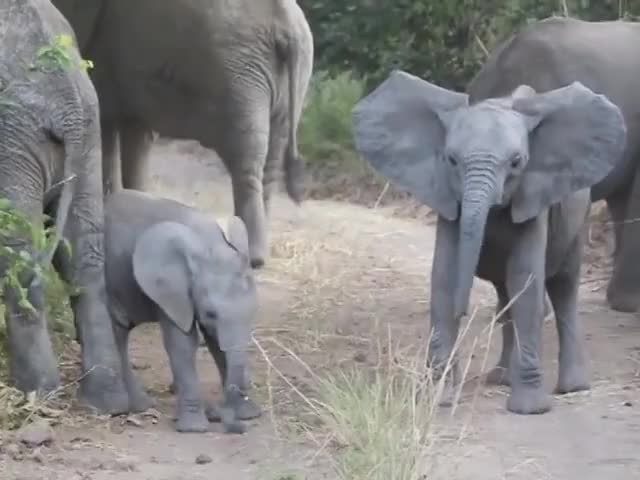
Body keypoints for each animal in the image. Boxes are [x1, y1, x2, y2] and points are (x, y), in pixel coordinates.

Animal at [0, 0, 128, 413]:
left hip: (14, 139)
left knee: (21, 258)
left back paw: (34, 391)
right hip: (88, 134)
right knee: (85, 255)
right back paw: (107, 401)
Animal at [52, 0, 314, 269]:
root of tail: (288, 27)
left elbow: (107, 122)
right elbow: (135, 133)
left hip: (241, 79)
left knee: (246, 162)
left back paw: (251, 256)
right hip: (284, 76)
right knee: (270, 161)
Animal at [104, 189, 261, 433]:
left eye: (253, 312)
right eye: (210, 314)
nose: (218, 413)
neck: (208, 244)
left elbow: (216, 344)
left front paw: (248, 414)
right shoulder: (169, 290)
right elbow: (183, 343)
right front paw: (194, 429)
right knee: (118, 334)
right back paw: (141, 406)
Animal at [352, 70, 626, 414]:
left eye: (517, 162)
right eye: (451, 160)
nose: (464, 311)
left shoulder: (534, 199)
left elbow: (526, 280)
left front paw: (529, 409)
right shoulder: (448, 199)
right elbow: (444, 277)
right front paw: (438, 399)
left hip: (578, 216)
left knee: (563, 287)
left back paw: (572, 387)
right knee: (504, 294)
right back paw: (501, 379)